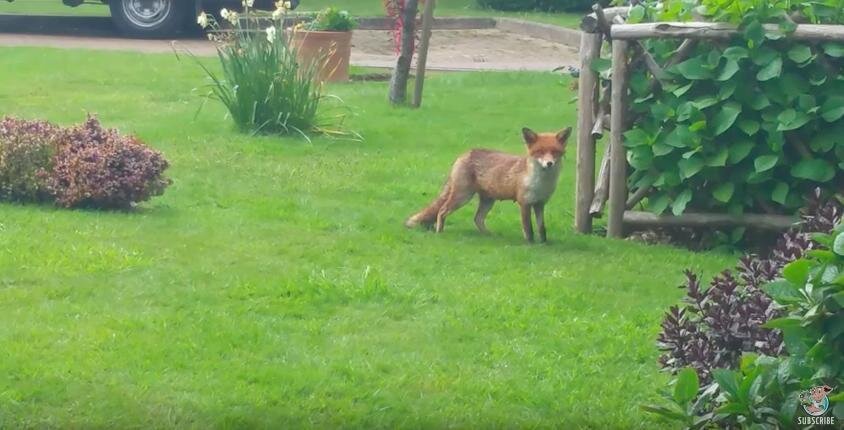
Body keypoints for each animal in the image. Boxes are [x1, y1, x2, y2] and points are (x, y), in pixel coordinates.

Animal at [405, 126, 572, 243]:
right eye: (540, 152)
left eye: (555, 152)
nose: (549, 163)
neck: (541, 183)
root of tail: (464, 154)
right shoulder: (524, 203)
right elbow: (528, 228)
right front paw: (531, 244)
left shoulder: (539, 204)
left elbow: (541, 227)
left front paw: (544, 243)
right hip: (463, 196)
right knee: (442, 210)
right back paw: (440, 231)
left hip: (488, 200)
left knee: (477, 219)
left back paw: (489, 235)